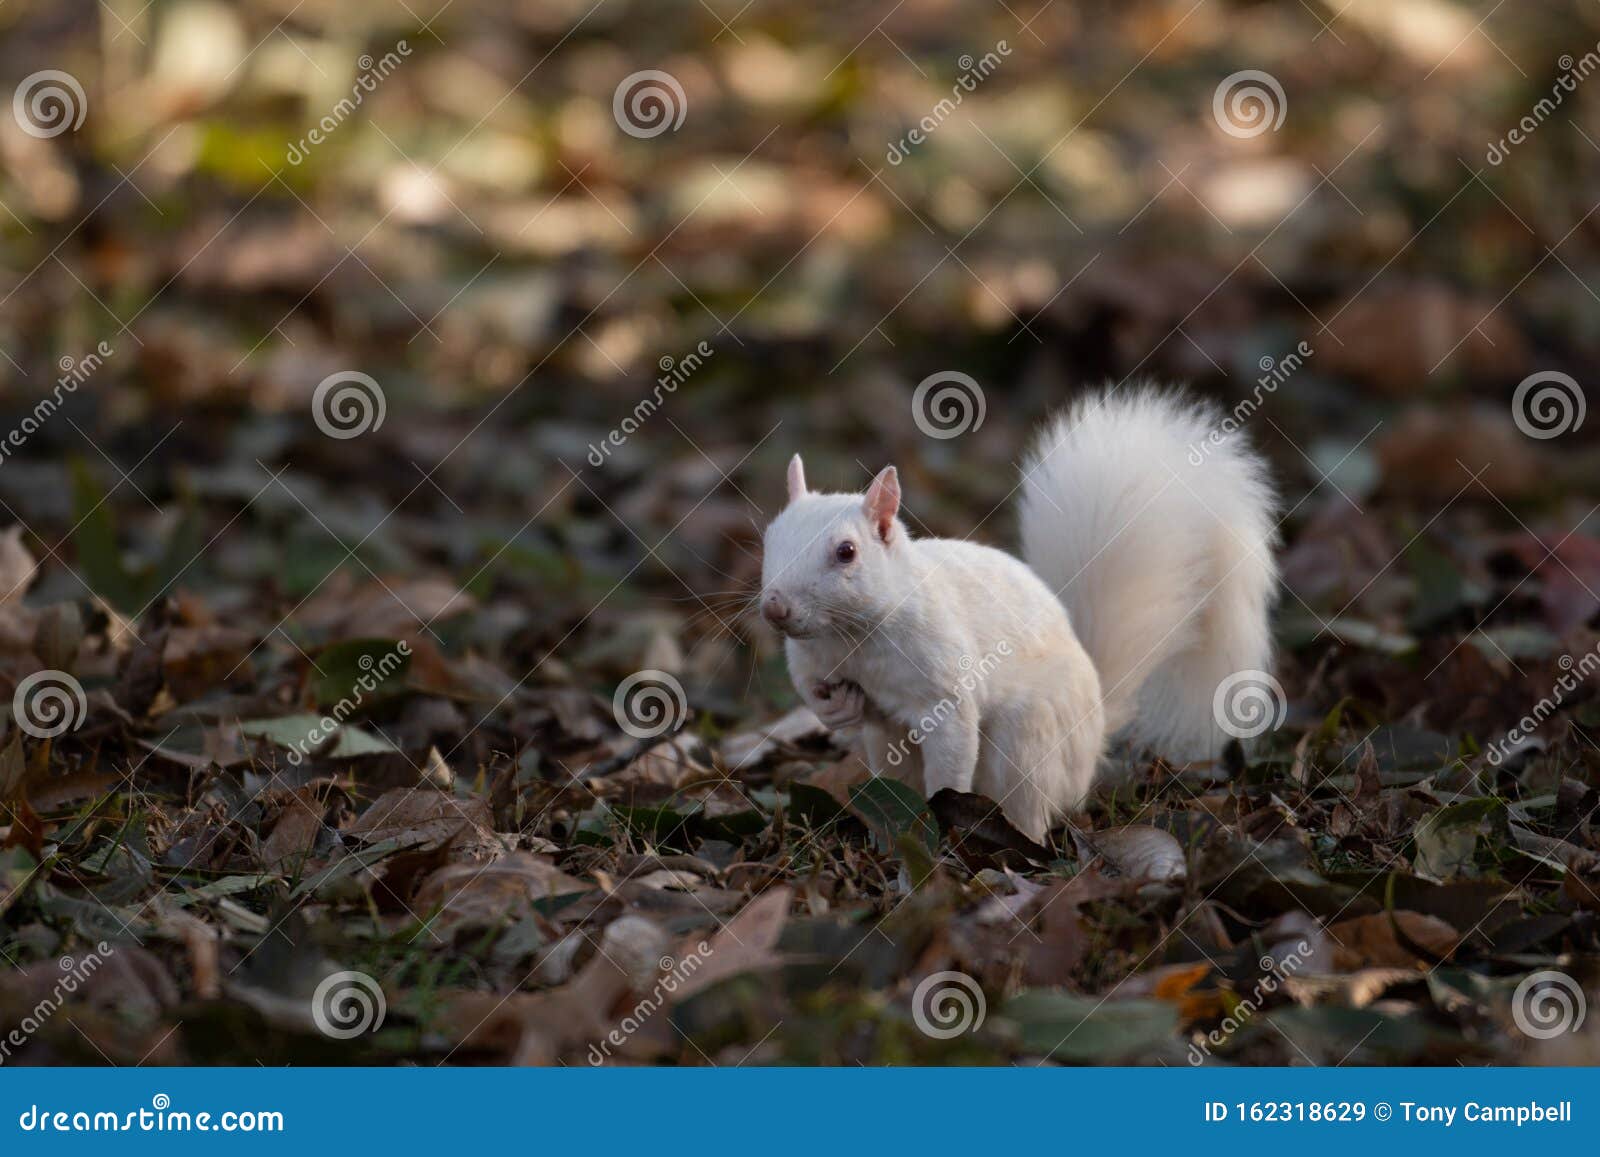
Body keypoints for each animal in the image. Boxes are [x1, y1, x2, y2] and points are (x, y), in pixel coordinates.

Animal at [758, 385, 1279, 841]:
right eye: (768, 537)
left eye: (847, 552)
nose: (774, 606)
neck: (852, 638)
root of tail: (1094, 733)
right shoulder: (812, 660)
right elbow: (812, 691)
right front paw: (837, 708)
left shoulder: (946, 687)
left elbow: (953, 748)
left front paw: (945, 806)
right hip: (890, 747)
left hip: (1029, 740)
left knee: (1029, 805)